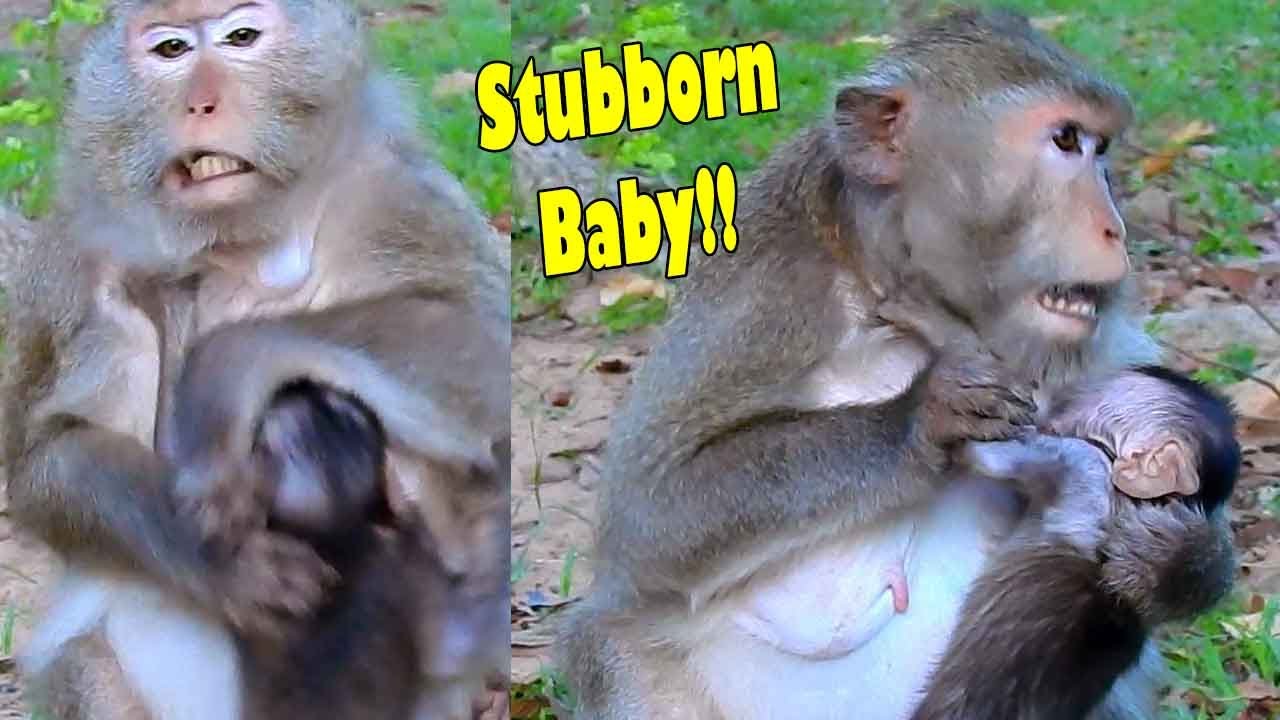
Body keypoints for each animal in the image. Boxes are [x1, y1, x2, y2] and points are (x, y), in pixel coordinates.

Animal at [2, 1, 510, 718]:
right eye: (171, 49)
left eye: (241, 37)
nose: (203, 103)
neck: (239, 249)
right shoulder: (77, 262)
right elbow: (47, 453)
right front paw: (223, 565)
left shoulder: (398, 194)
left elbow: (481, 354)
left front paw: (225, 369)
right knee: (88, 654)